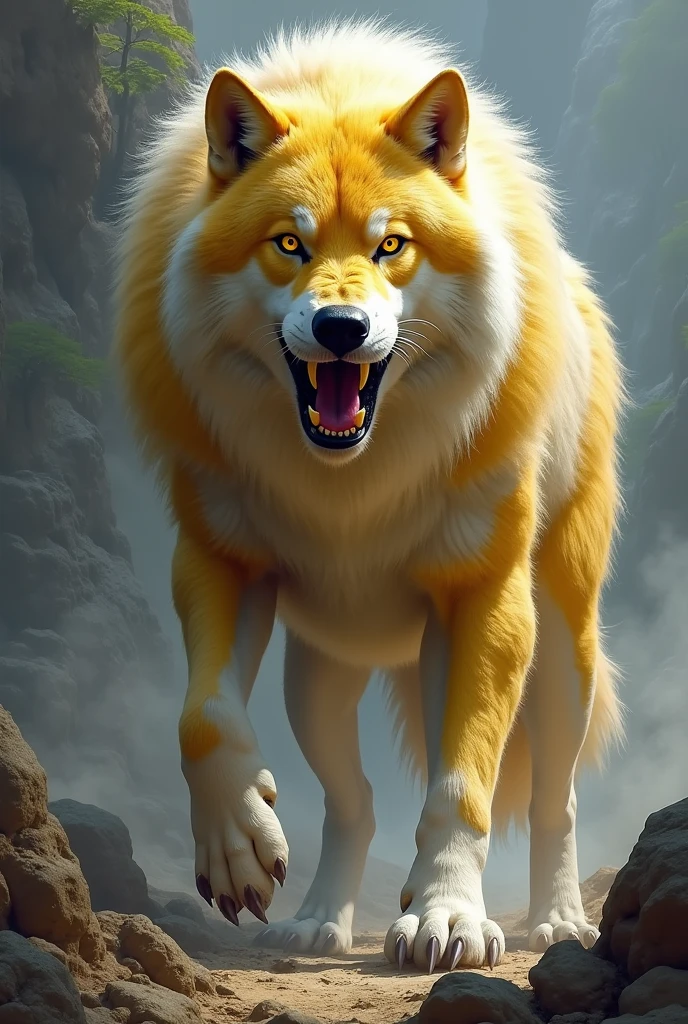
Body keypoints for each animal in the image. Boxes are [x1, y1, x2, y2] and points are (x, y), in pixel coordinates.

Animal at [114, 21, 624, 971]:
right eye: (290, 244)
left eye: (392, 245)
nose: (342, 329)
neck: (350, 488)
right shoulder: (218, 560)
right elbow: (204, 717)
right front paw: (238, 850)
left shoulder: (483, 600)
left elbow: (462, 788)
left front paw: (448, 918)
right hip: (318, 678)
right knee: (353, 800)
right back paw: (319, 920)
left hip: (558, 653)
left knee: (553, 797)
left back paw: (559, 921)